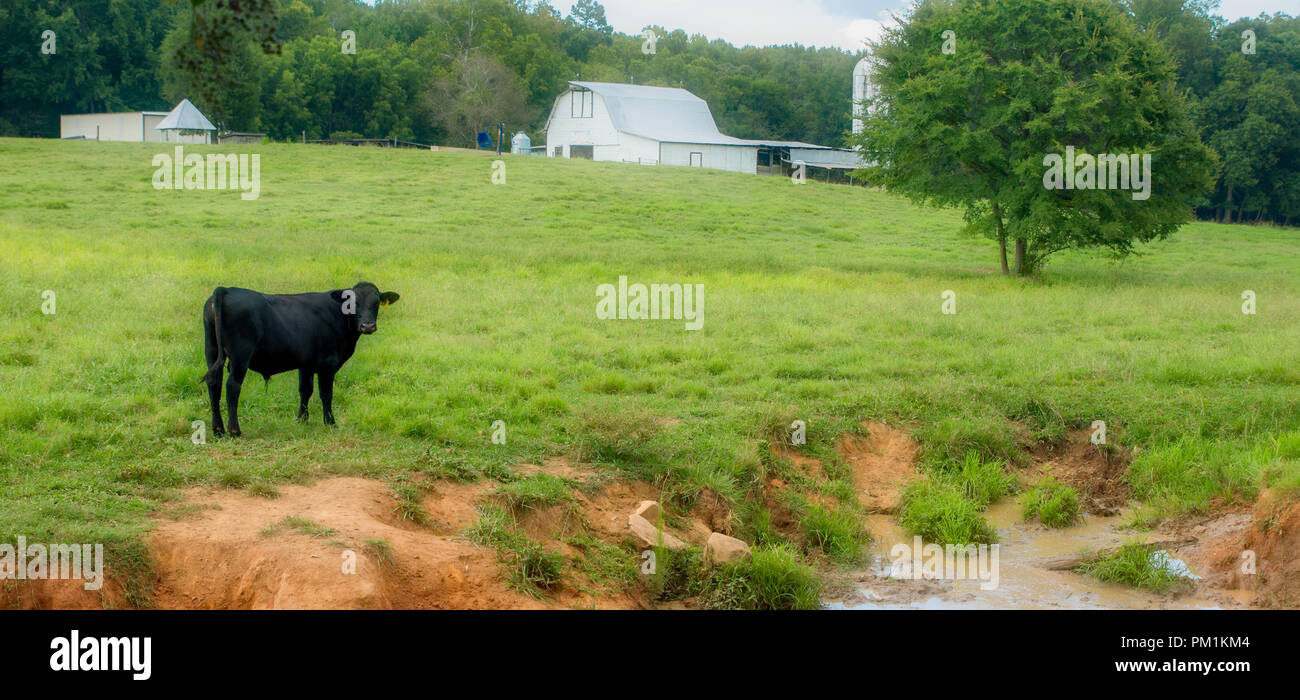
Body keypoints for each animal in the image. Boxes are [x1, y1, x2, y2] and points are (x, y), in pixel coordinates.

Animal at [202, 281, 400, 436]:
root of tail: (226, 290)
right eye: (353, 302)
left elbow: (305, 390)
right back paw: (234, 430)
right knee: (232, 387)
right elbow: (326, 393)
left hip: (211, 351)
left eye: (376, 302)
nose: (368, 326)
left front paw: (301, 419)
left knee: (214, 383)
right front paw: (330, 422)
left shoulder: (306, 364)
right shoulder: (328, 364)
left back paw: (218, 429)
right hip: (240, 357)